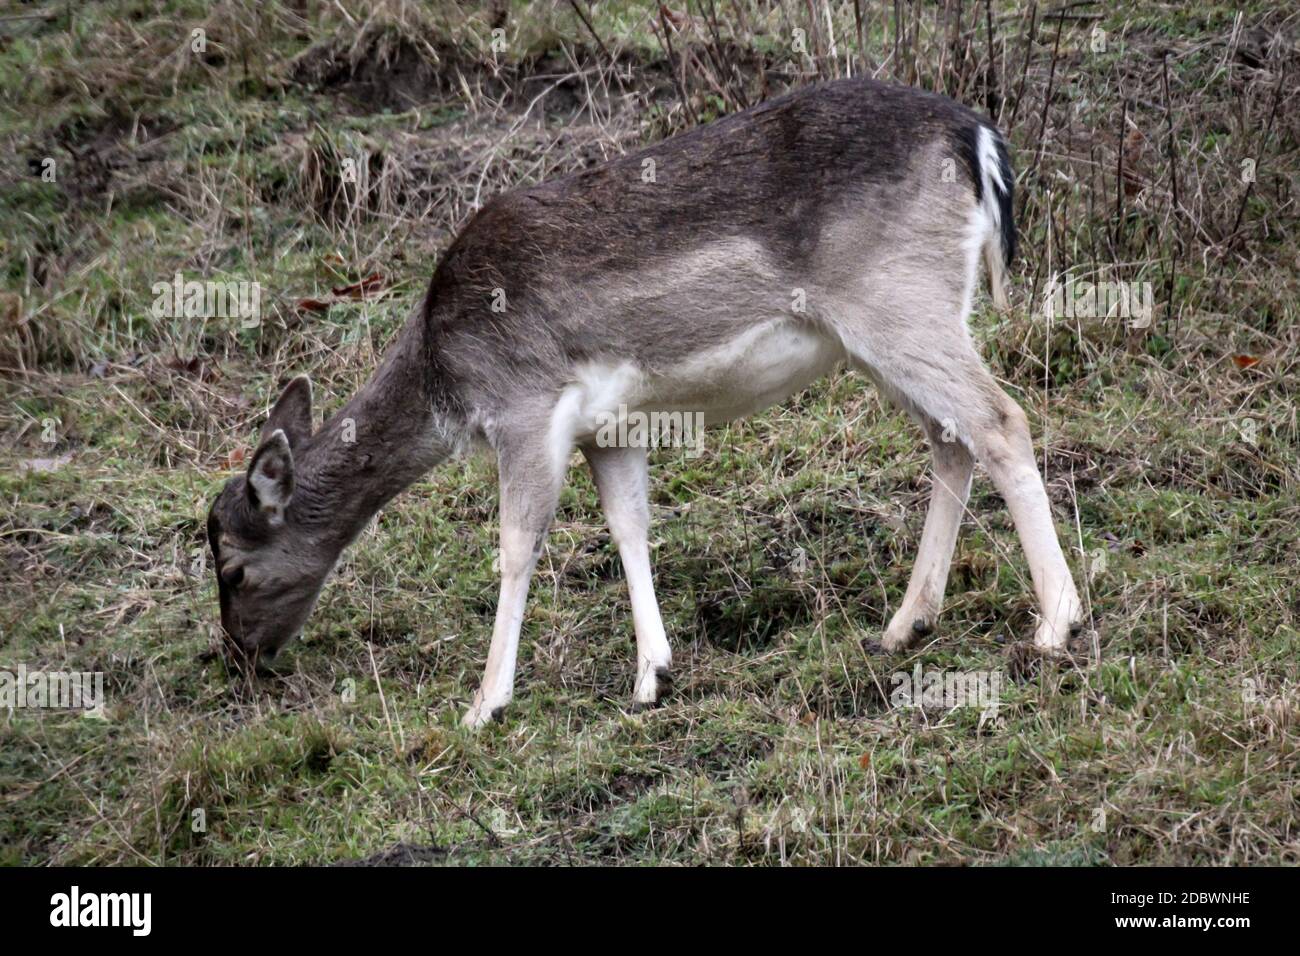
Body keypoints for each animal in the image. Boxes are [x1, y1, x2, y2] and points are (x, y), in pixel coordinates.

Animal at [206, 77, 1084, 728]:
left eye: (234, 568)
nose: (240, 658)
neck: (442, 376)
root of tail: (978, 139)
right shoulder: (608, 426)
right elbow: (630, 526)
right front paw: (652, 675)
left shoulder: (525, 404)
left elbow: (516, 545)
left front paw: (485, 704)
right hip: (896, 327)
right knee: (950, 439)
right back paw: (905, 625)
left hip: (897, 304)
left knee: (1000, 422)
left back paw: (1054, 626)